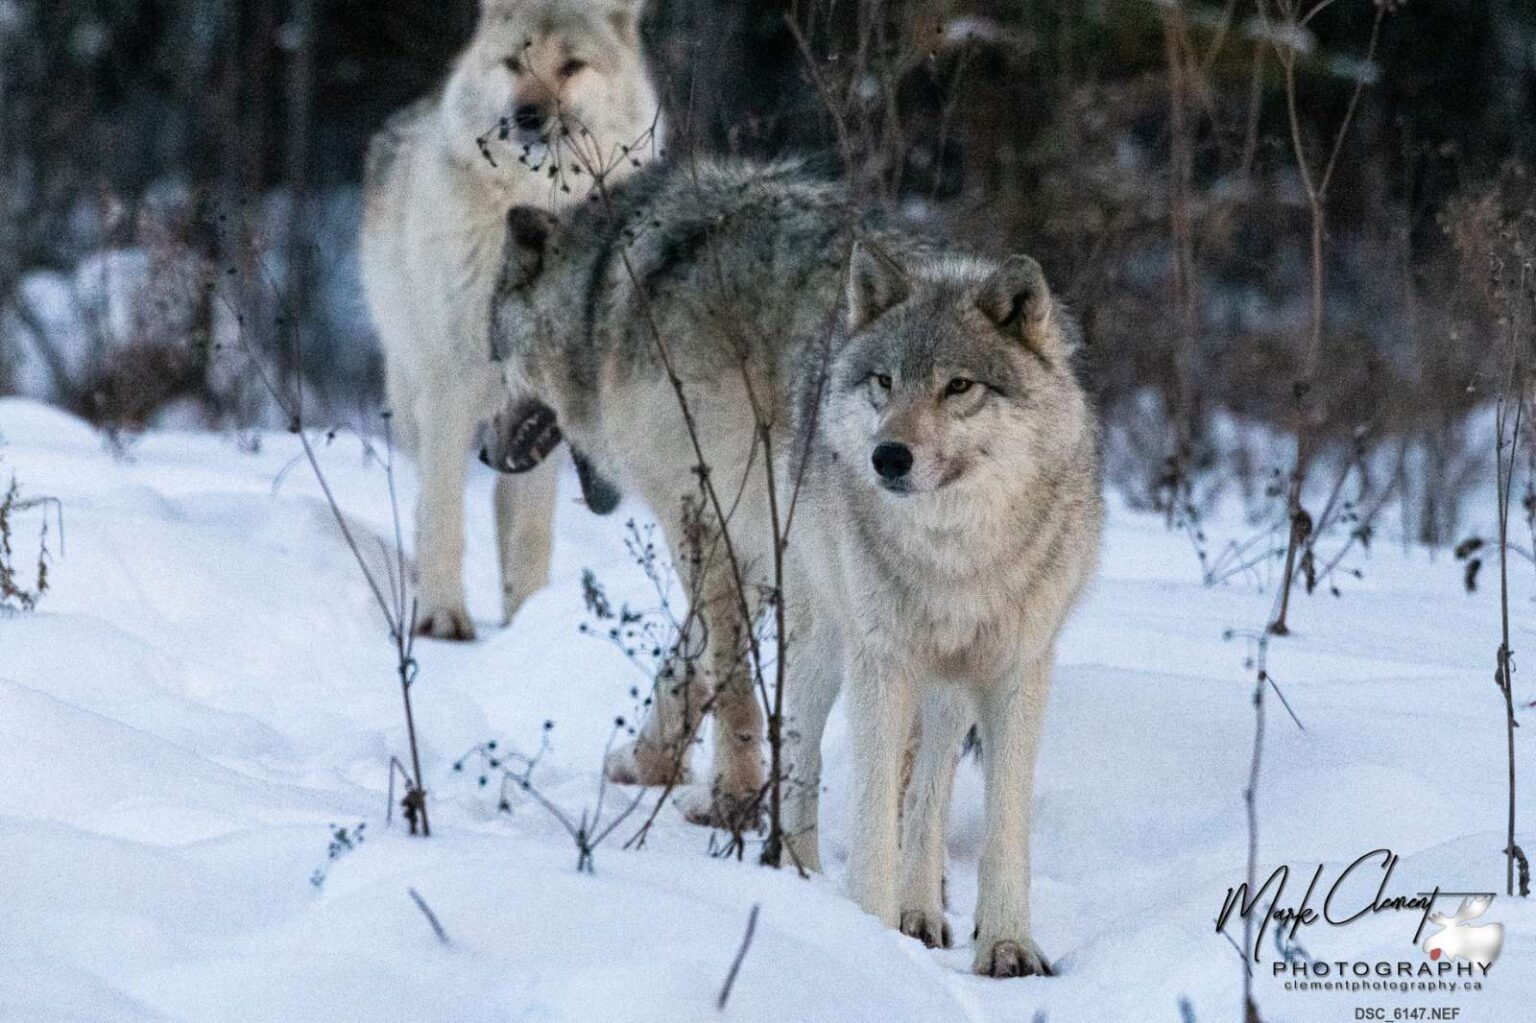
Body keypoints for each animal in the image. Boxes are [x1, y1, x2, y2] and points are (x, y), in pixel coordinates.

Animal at [359, 0, 660, 639]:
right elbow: (443, 515)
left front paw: (526, 620)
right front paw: (441, 619)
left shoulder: (547, 405)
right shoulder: (448, 389)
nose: (527, 115)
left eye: (571, 66)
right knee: (427, 497)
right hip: (412, 393)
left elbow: (528, 532)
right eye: (514, 63)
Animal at [486, 159, 1103, 977]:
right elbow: (700, 670)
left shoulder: (703, 517)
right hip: (847, 629)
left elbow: (724, 676)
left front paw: (729, 799)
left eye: (492, 360)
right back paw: (858, 883)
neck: (602, 302)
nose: (482, 448)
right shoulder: (760, 553)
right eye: (883, 383)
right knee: (864, 750)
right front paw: (656, 761)